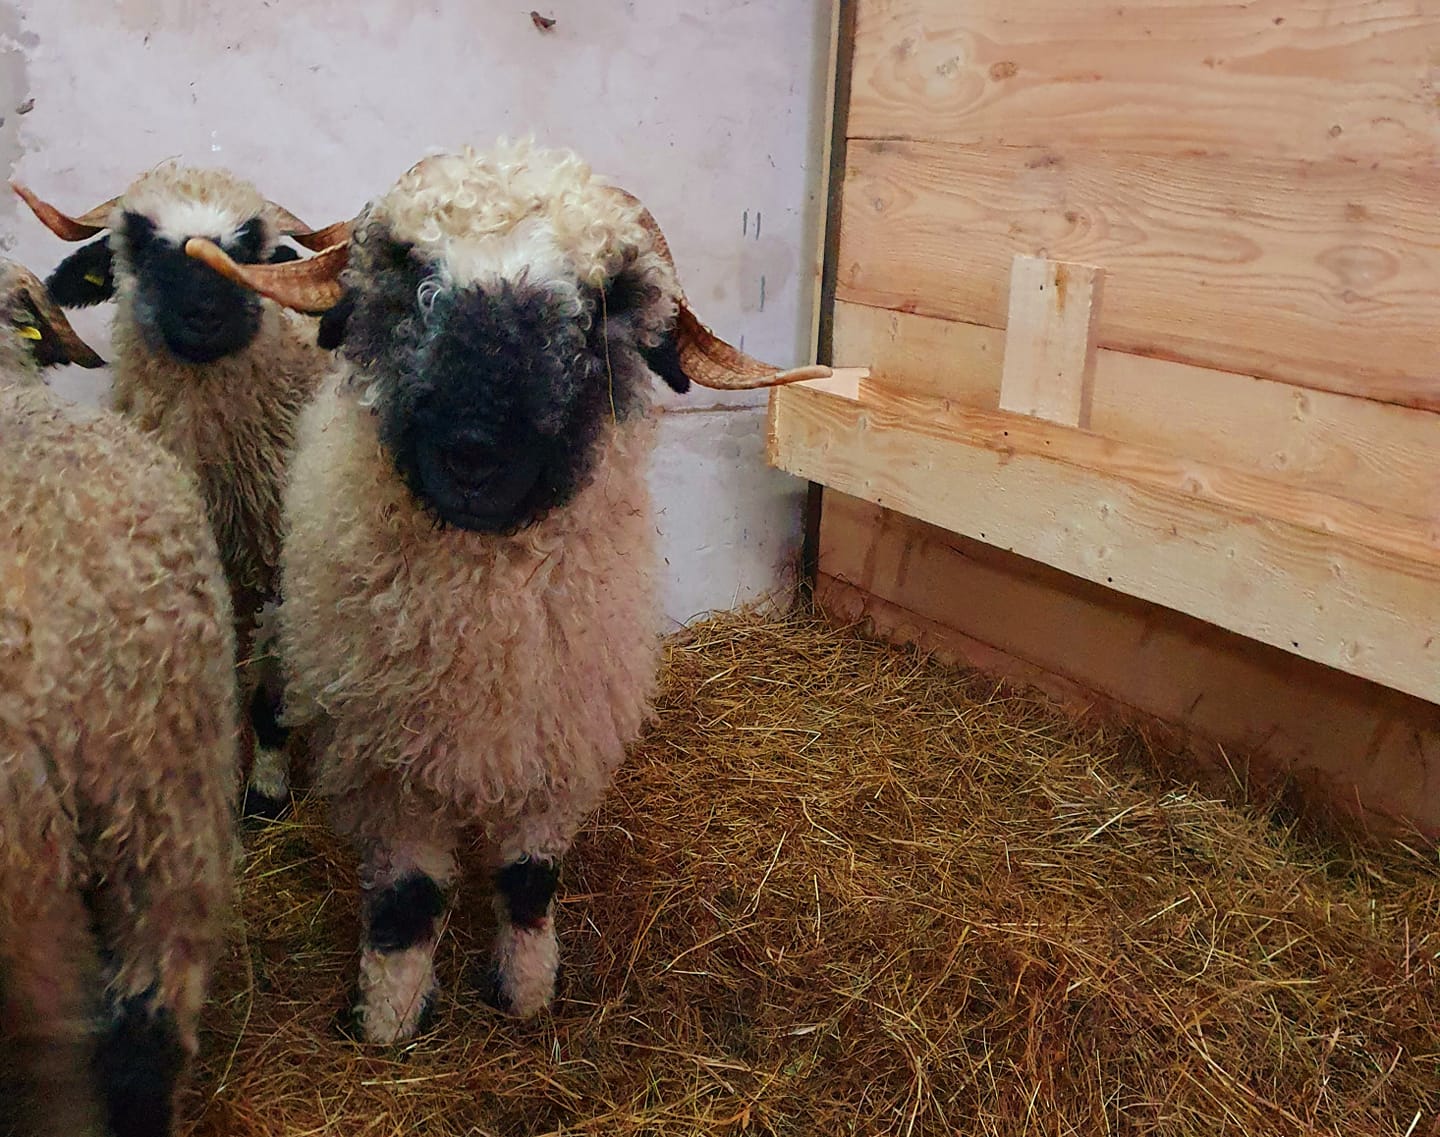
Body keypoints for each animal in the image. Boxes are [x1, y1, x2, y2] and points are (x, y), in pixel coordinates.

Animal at [11, 164, 345, 821]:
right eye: (141, 241)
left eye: (248, 246)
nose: (202, 314)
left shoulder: (279, 567)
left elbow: (269, 699)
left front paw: (266, 789)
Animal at [185, 138, 829, 1045]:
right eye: (410, 267)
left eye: (602, 302)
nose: (472, 453)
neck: (486, 621)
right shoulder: (394, 764)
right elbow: (408, 900)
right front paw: (388, 1019)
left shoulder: (555, 748)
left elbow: (528, 882)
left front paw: (527, 993)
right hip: (288, 595)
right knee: (273, 691)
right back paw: (268, 790)